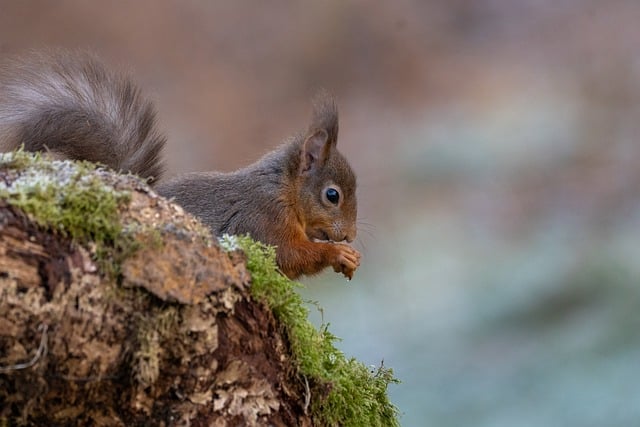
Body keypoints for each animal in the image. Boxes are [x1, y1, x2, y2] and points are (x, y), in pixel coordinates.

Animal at [0, 50, 361, 280]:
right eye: (332, 195)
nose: (350, 236)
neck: (284, 190)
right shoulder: (262, 219)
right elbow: (286, 256)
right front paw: (336, 254)